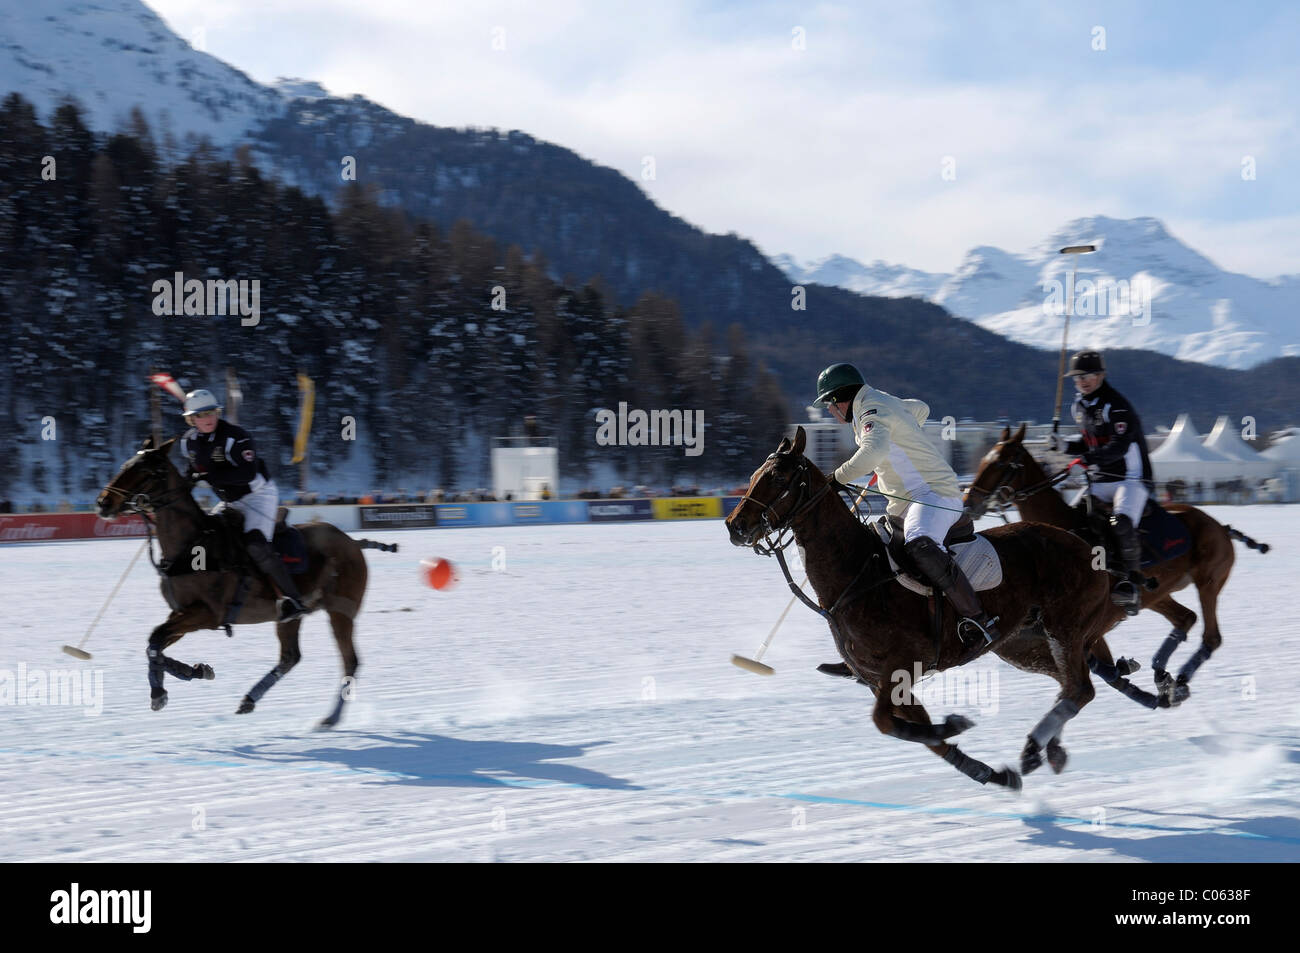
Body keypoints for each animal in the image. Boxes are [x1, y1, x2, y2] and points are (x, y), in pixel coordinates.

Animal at [96, 436, 392, 727]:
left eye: (146, 471)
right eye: (125, 465)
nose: (103, 503)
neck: (191, 545)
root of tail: (352, 541)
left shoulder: (206, 614)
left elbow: (156, 641)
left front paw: (186, 677)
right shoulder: (180, 612)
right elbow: (154, 643)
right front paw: (175, 683)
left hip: (341, 610)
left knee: (350, 660)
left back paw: (331, 718)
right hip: (289, 617)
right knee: (291, 656)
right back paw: (249, 699)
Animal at [725, 426, 1129, 789]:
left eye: (778, 477)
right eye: (754, 475)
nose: (734, 526)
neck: (857, 572)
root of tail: (1088, 547)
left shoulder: (903, 664)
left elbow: (885, 723)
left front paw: (954, 724)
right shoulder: (882, 680)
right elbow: (920, 735)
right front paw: (991, 772)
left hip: (1065, 626)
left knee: (1080, 688)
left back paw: (1034, 746)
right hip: (1022, 644)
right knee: (1069, 684)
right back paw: (1048, 749)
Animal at [964, 423, 1269, 706]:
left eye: (1000, 462)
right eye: (982, 460)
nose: (969, 503)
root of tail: (1221, 525)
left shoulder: (1093, 622)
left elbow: (1098, 666)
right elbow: (1104, 668)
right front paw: (1129, 669)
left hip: (1208, 581)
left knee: (1210, 636)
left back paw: (1179, 680)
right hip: (1156, 594)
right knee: (1185, 618)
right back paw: (1163, 676)